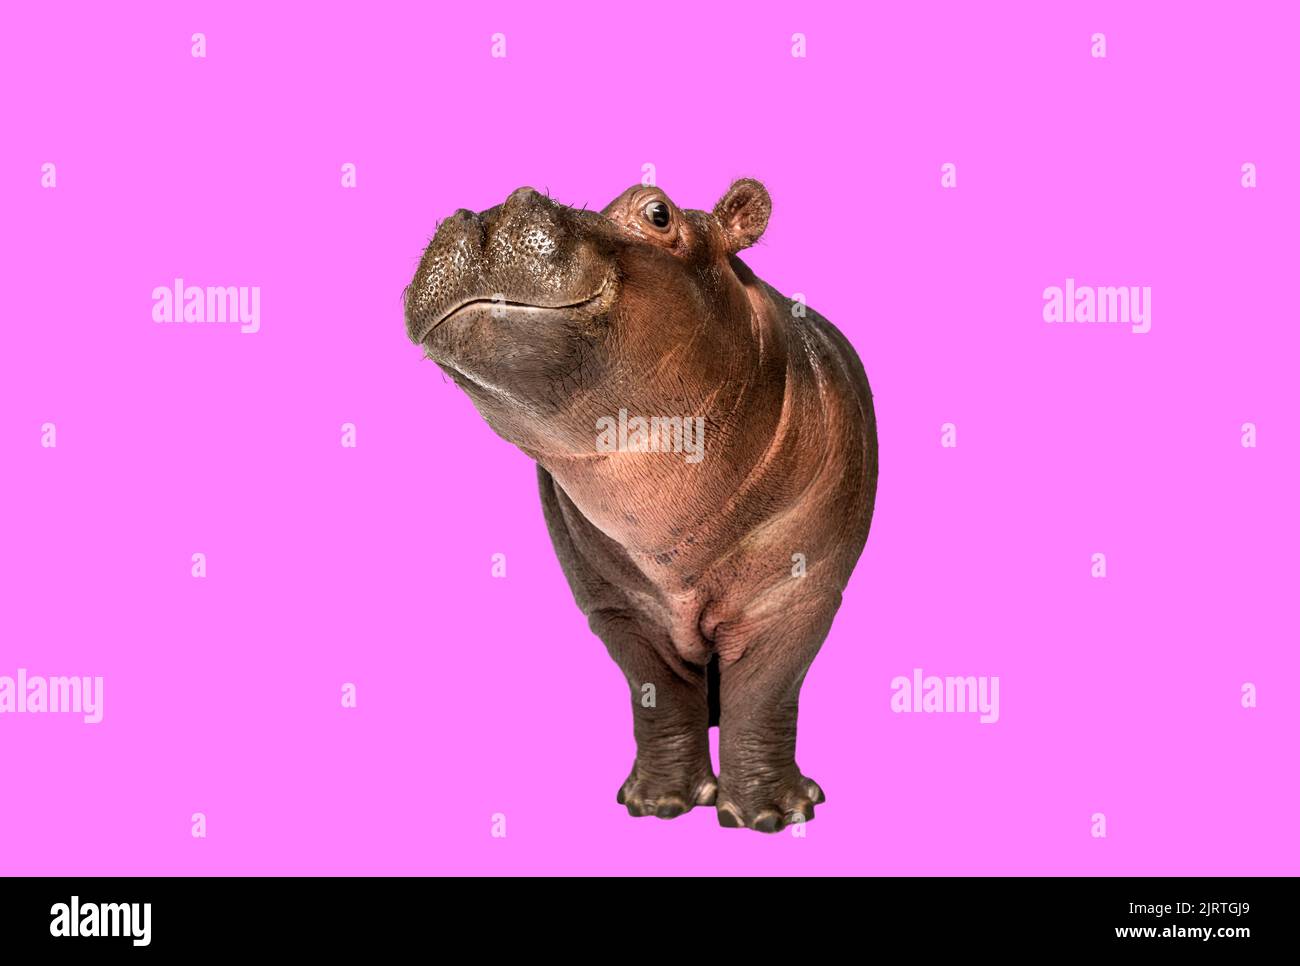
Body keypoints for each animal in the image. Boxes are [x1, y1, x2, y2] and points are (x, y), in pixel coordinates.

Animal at [404, 180, 878, 832]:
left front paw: (772, 816)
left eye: (658, 212)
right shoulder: (618, 605)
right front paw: (658, 805)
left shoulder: (796, 594)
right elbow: (659, 694)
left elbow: (763, 693)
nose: (485, 215)